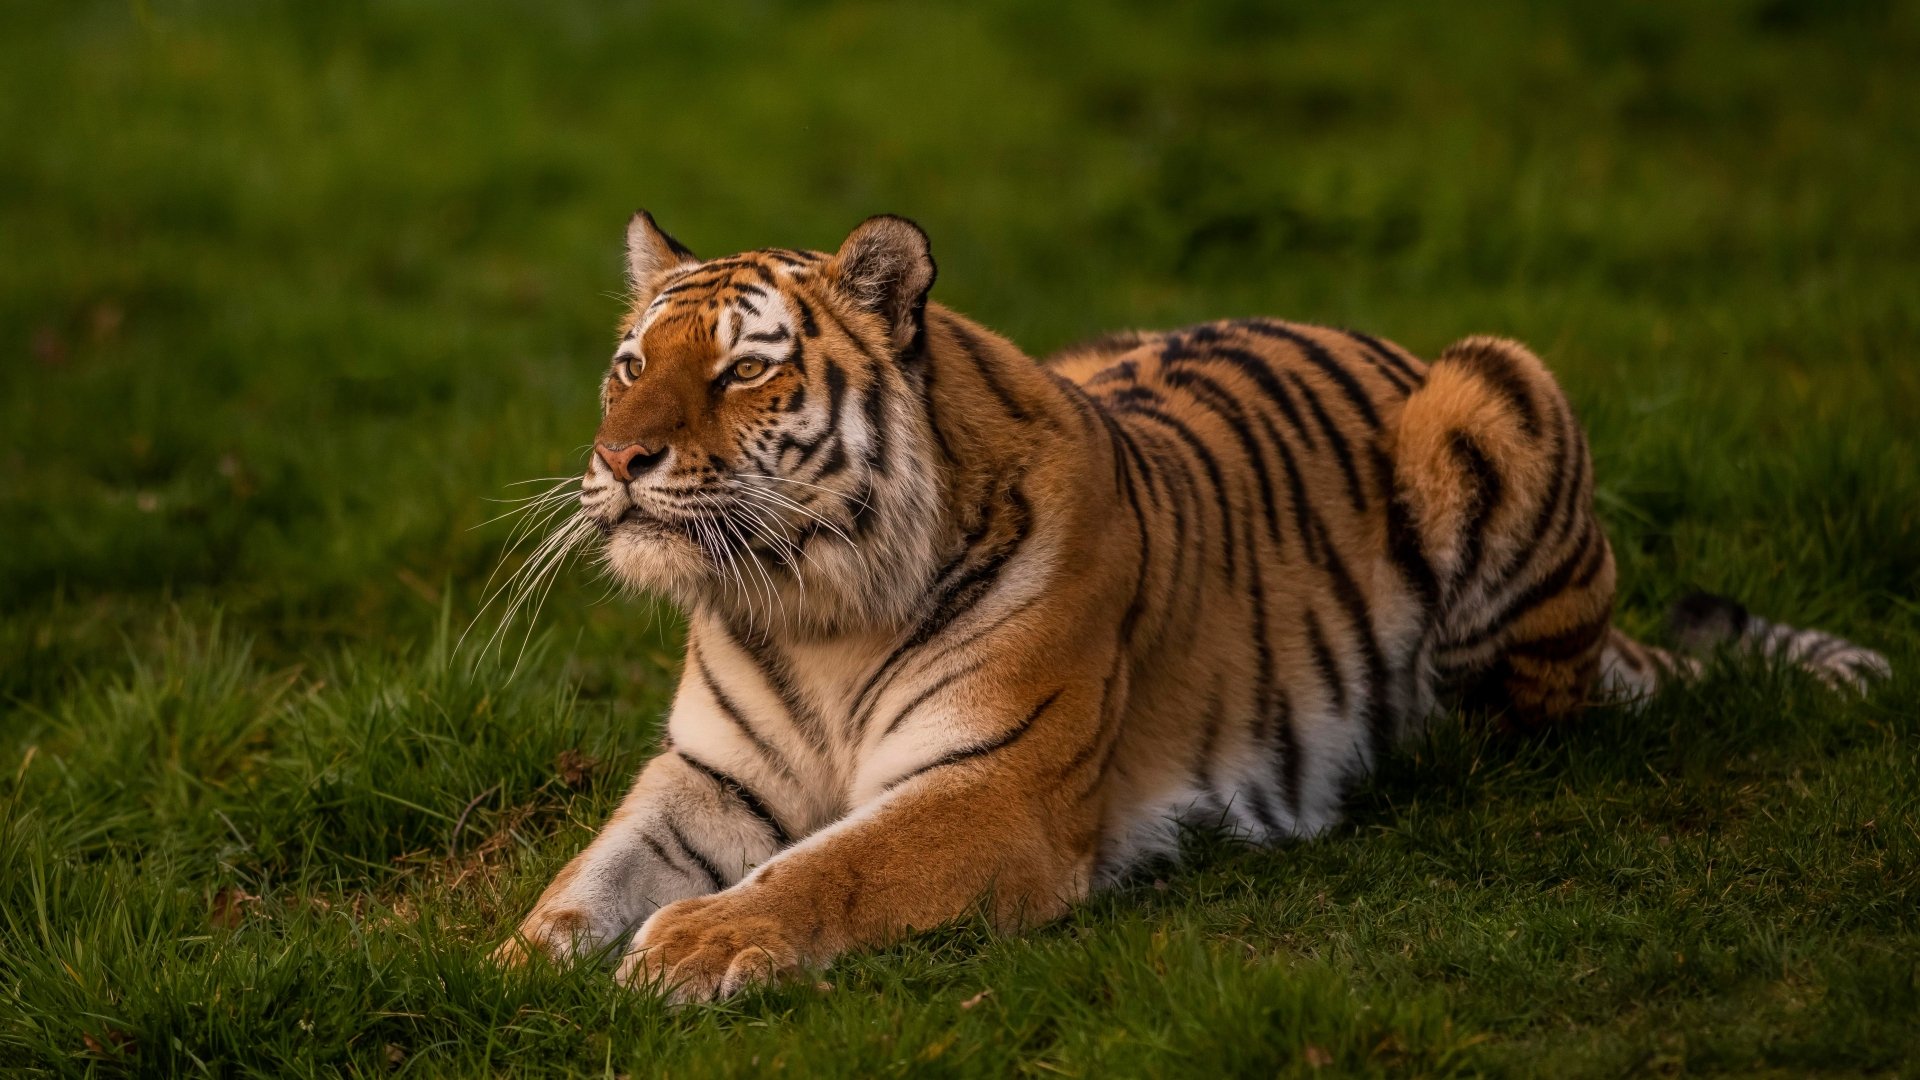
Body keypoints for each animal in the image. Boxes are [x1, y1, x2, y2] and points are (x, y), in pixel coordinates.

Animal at [493, 211, 1890, 1001]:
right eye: (631, 363)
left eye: (741, 372)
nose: (619, 460)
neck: (808, 608)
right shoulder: (708, 777)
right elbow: (592, 870)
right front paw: (515, 964)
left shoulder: (993, 790)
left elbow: (831, 867)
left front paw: (692, 946)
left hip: (1499, 384)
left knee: (1537, 710)